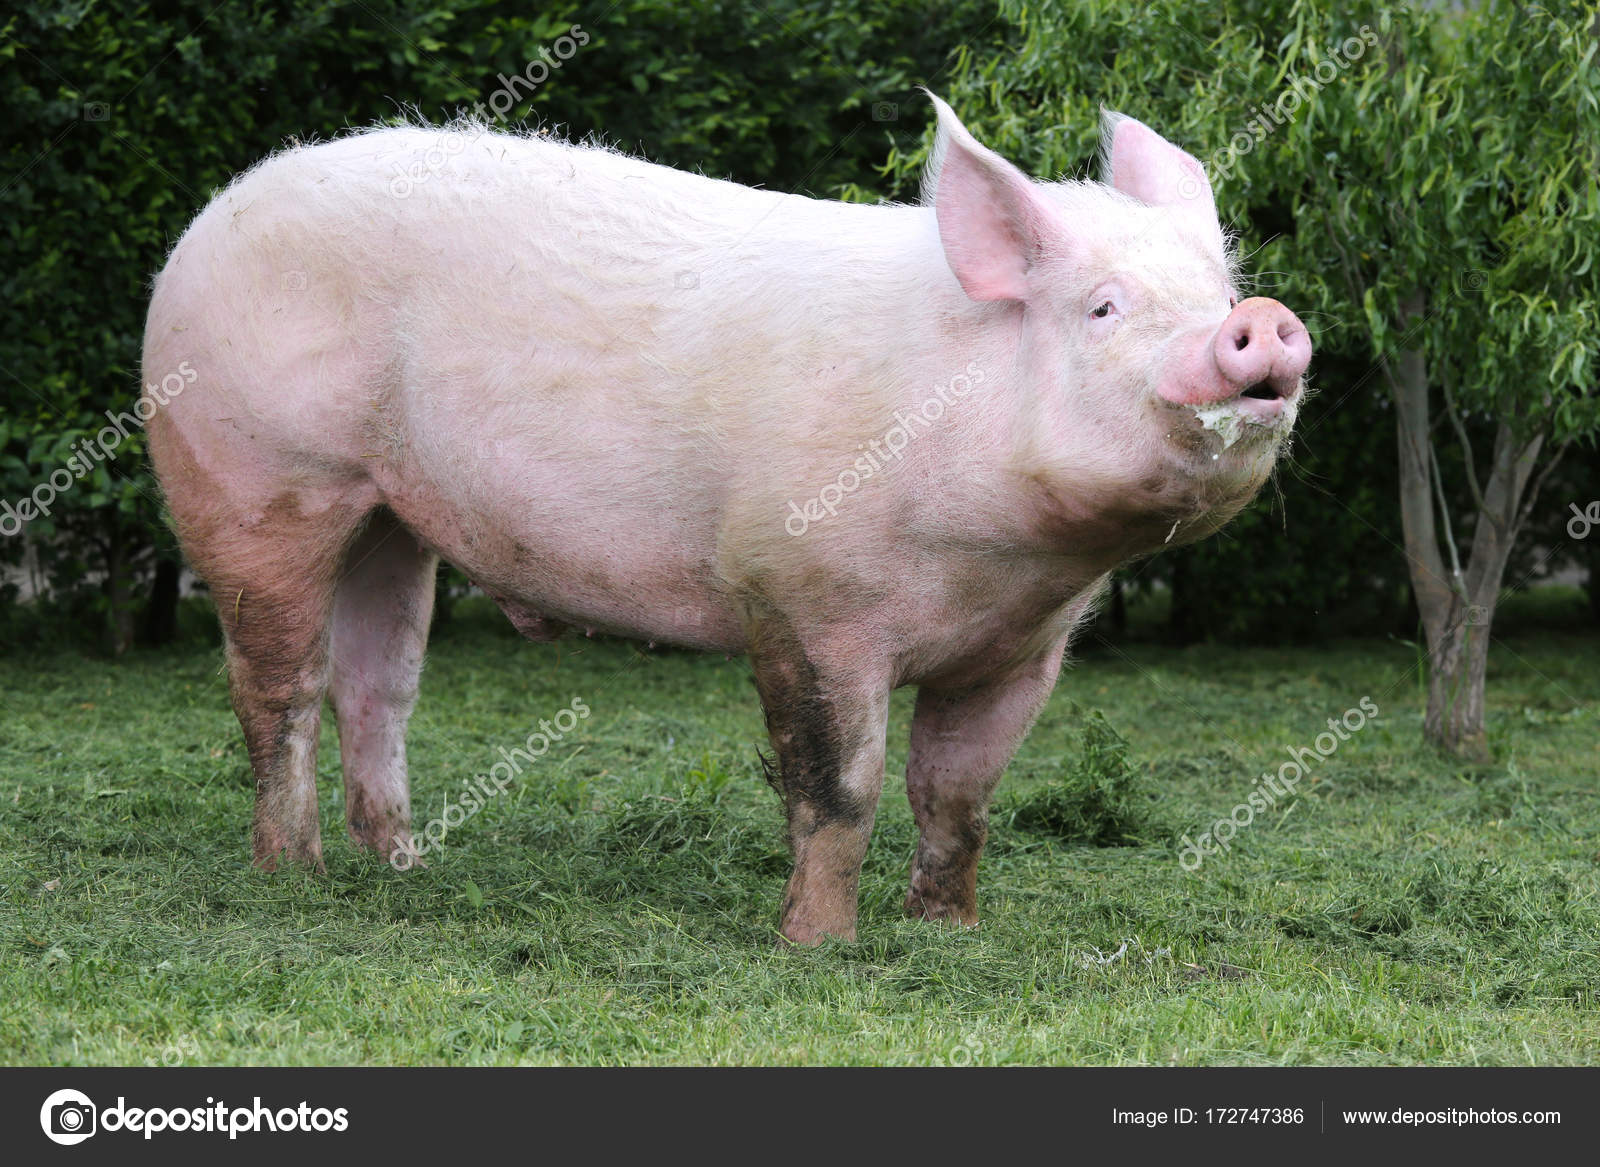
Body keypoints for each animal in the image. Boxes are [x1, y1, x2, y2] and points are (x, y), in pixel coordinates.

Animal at [142, 96, 1310, 946]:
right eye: (1103, 306)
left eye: (1215, 291)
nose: (1262, 320)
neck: (1001, 564)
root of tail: (204, 224)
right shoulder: (800, 592)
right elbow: (840, 786)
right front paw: (818, 945)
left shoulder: (1027, 645)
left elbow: (959, 796)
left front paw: (948, 932)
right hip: (257, 478)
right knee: (278, 687)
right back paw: (294, 876)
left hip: (391, 513)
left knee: (378, 688)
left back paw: (403, 864)